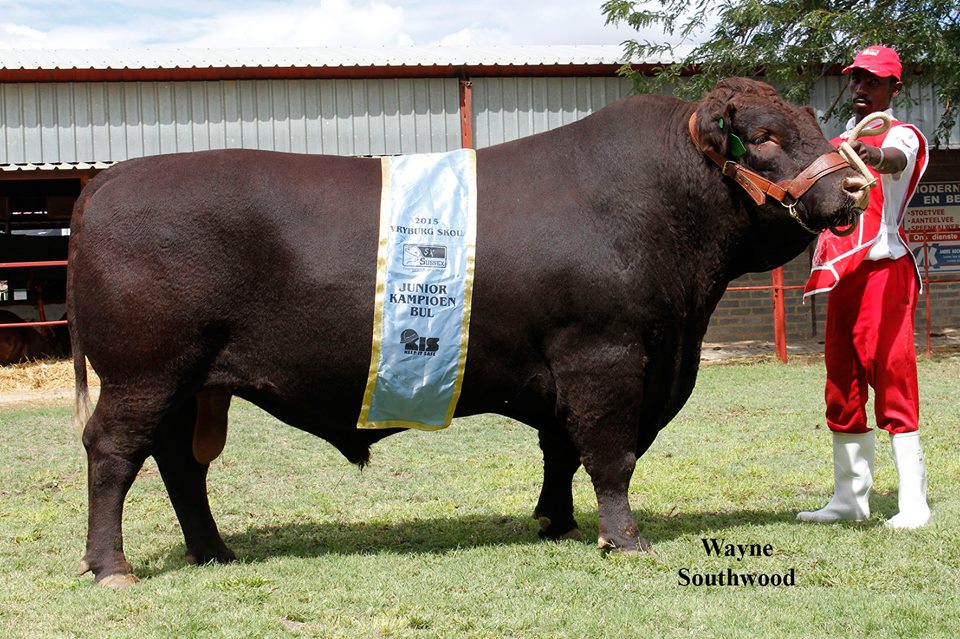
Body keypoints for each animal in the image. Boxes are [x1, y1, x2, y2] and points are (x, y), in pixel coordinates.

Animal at [68, 78, 870, 587]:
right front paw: (626, 538)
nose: (853, 191)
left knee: (179, 464)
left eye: (818, 128)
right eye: (764, 137)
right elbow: (609, 455)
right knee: (114, 453)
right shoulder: (606, 357)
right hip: (143, 372)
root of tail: (110, 178)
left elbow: (561, 451)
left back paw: (213, 550)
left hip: (191, 383)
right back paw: (112, 567)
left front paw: (557, 522)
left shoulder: (570, 370)